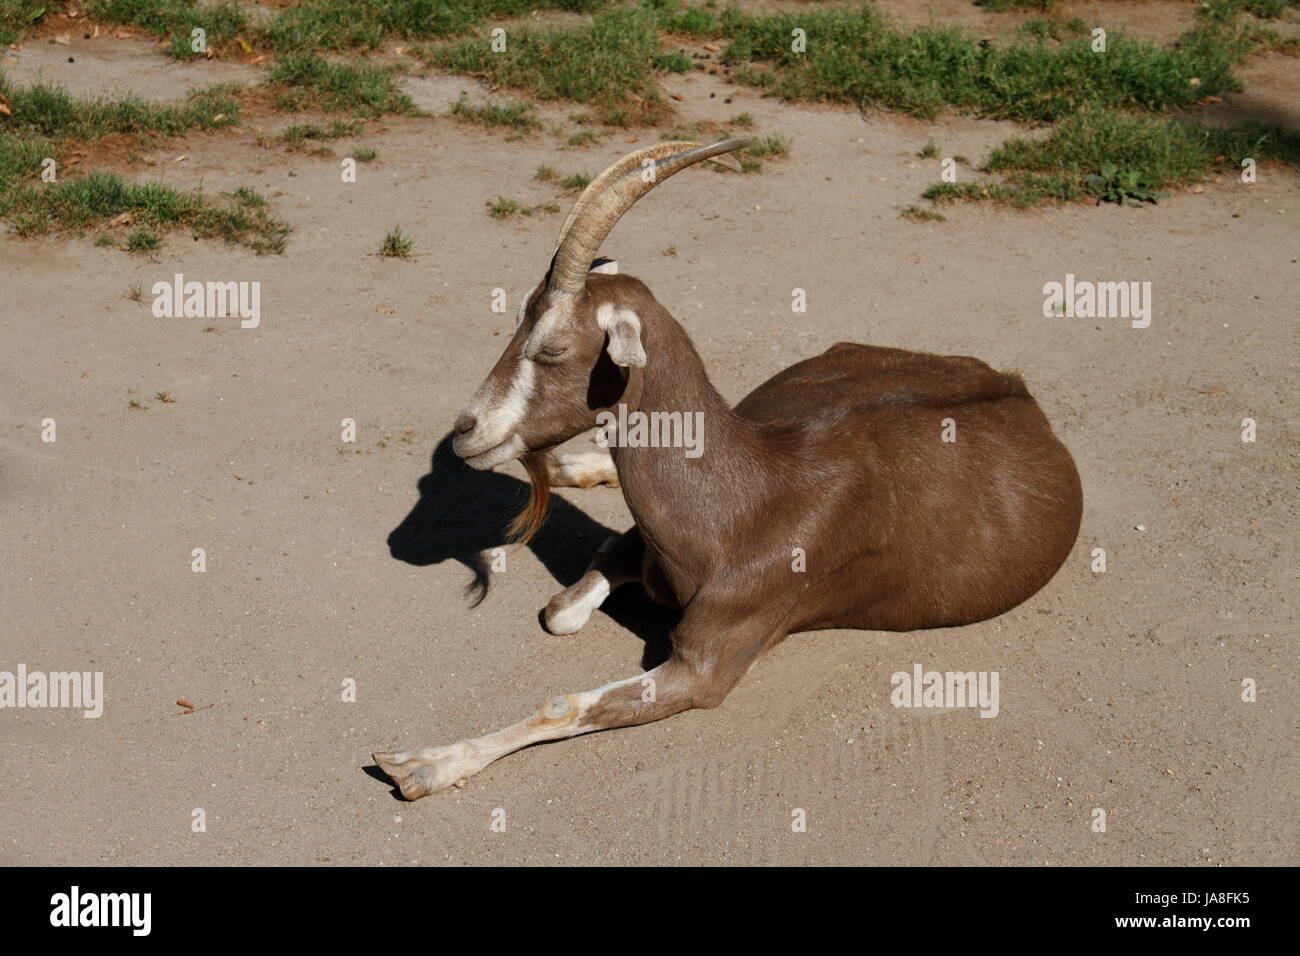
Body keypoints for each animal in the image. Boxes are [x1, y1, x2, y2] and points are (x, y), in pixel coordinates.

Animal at [374, 140, 1083, 800]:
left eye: (551, 346)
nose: (467, 431)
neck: (744, 501)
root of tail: (1018, 389)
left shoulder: (704, 667)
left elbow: (562, 698)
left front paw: (424, 764)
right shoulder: (641, 550)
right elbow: (562, 610)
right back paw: (574, 463)